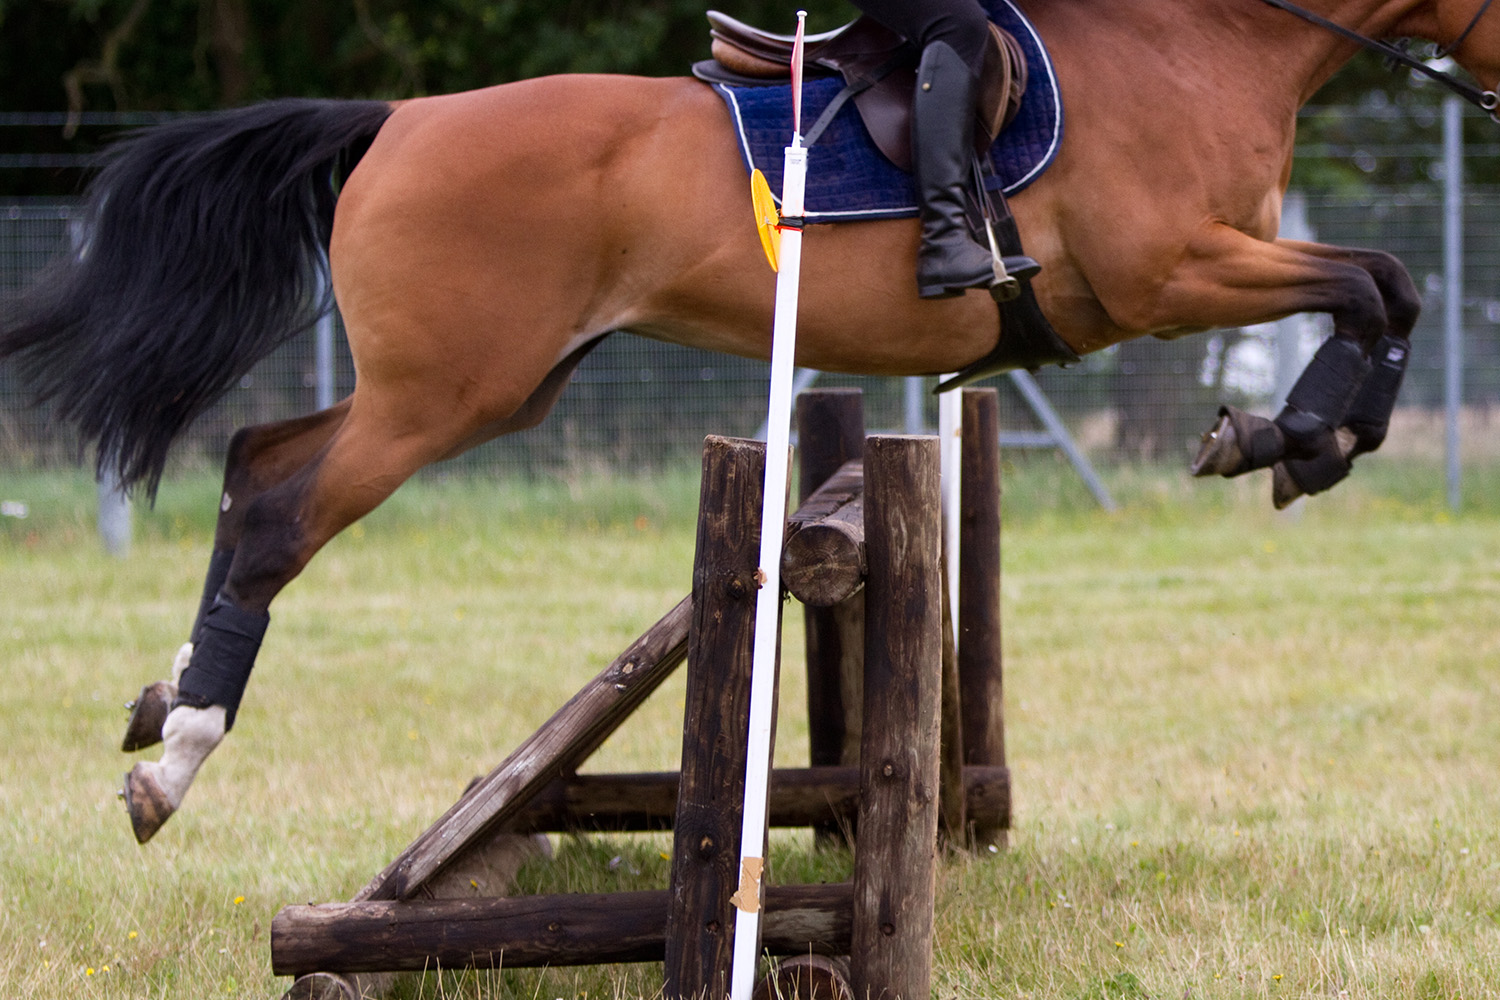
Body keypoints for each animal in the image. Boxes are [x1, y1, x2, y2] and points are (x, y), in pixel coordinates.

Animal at [2, 0, 1495, 843]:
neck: (1204, 44)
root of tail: (396, 123)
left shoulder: (1213, 263)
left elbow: (1390, 286)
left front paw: (1301, 444)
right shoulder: (1170, 273)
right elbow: (1378, 282)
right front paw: (1290, 440)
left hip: (483, 385)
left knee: (256, 458)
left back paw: (164, 697)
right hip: (441, 396)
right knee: (274, 510)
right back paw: (179, 756)